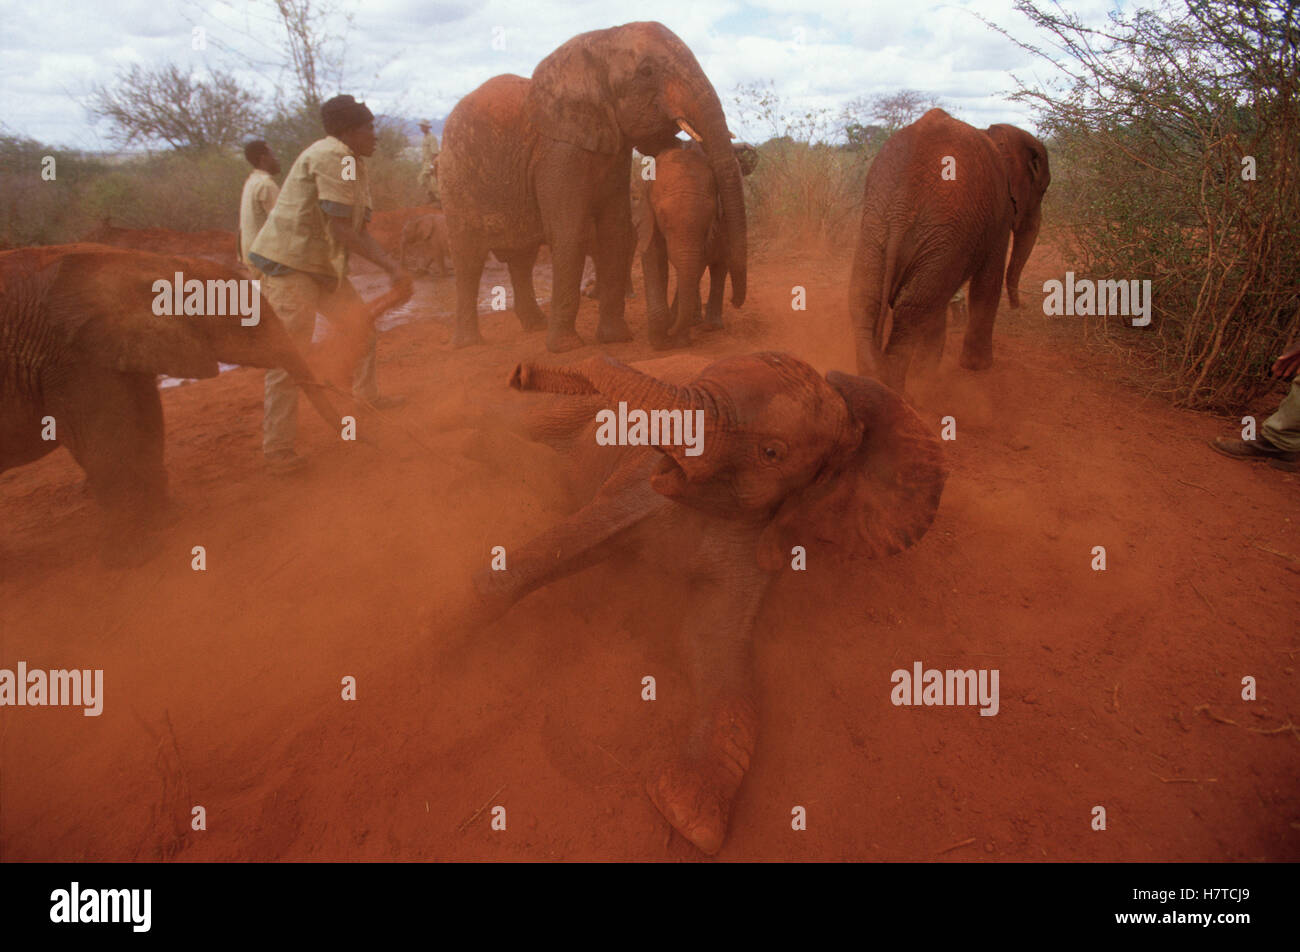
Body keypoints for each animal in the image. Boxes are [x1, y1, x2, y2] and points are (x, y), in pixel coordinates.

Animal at [0, 244, 339, 556]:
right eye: (250, 325)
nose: (348, 442)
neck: (149, 262)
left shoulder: (124, 346)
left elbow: (148, 421)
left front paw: (168, 520)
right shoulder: (70, 359)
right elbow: (104, 447)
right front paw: (136, 555)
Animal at [444, 350, 947, 854]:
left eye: (772, 453)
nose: (521, 371)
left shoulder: (755, 536)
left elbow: (711, 645)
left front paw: (691, 817)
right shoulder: (639, 483)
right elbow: (566, 547)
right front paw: (437, 652)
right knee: (526, 424)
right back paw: (459, 426)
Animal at [637, 141, 759, 348]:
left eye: (709, 216)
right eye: (663, 218)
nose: (734, 301)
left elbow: (699, 261)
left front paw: (676, 336)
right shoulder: (648, 213)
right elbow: (652, 254)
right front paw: (660, 340)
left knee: (718, 265)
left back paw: (710, 325)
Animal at [849, 108, 1051, 391]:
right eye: (1042, 190)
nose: (1019, 306)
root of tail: (900, 207)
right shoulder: (999, 213)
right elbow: (987, 283)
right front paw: (978, 367)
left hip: (880, 228)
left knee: (867, 300)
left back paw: (883, 379)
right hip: (934, 231)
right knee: (911, 311)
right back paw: (902, 388)